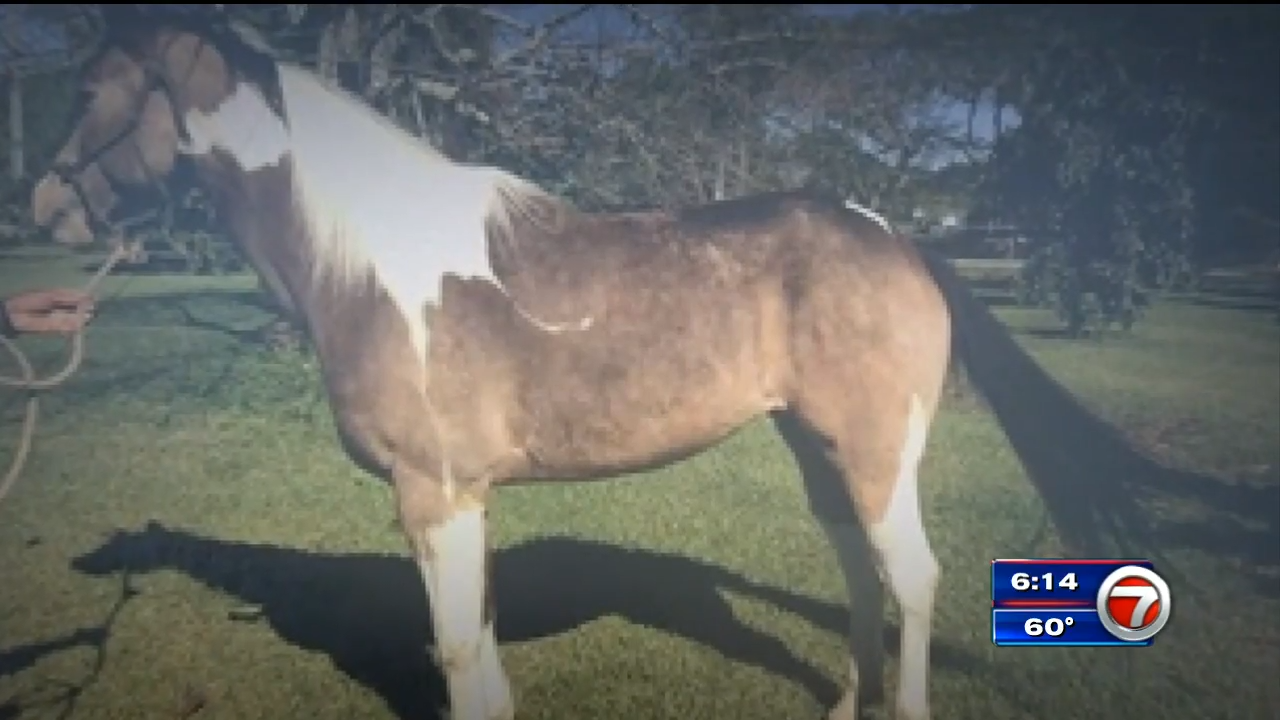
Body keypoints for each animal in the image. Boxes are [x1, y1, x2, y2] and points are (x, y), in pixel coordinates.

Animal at [30, 11, 1152, 720]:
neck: (372, 259)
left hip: (876, 451)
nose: (42, 206)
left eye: (86, 88)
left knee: (910, 579)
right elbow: (477, 650)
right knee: (859, 573)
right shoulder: (465, 502)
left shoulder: (432, 494)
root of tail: (894, 236)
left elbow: (455, 651)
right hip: (815, 448)